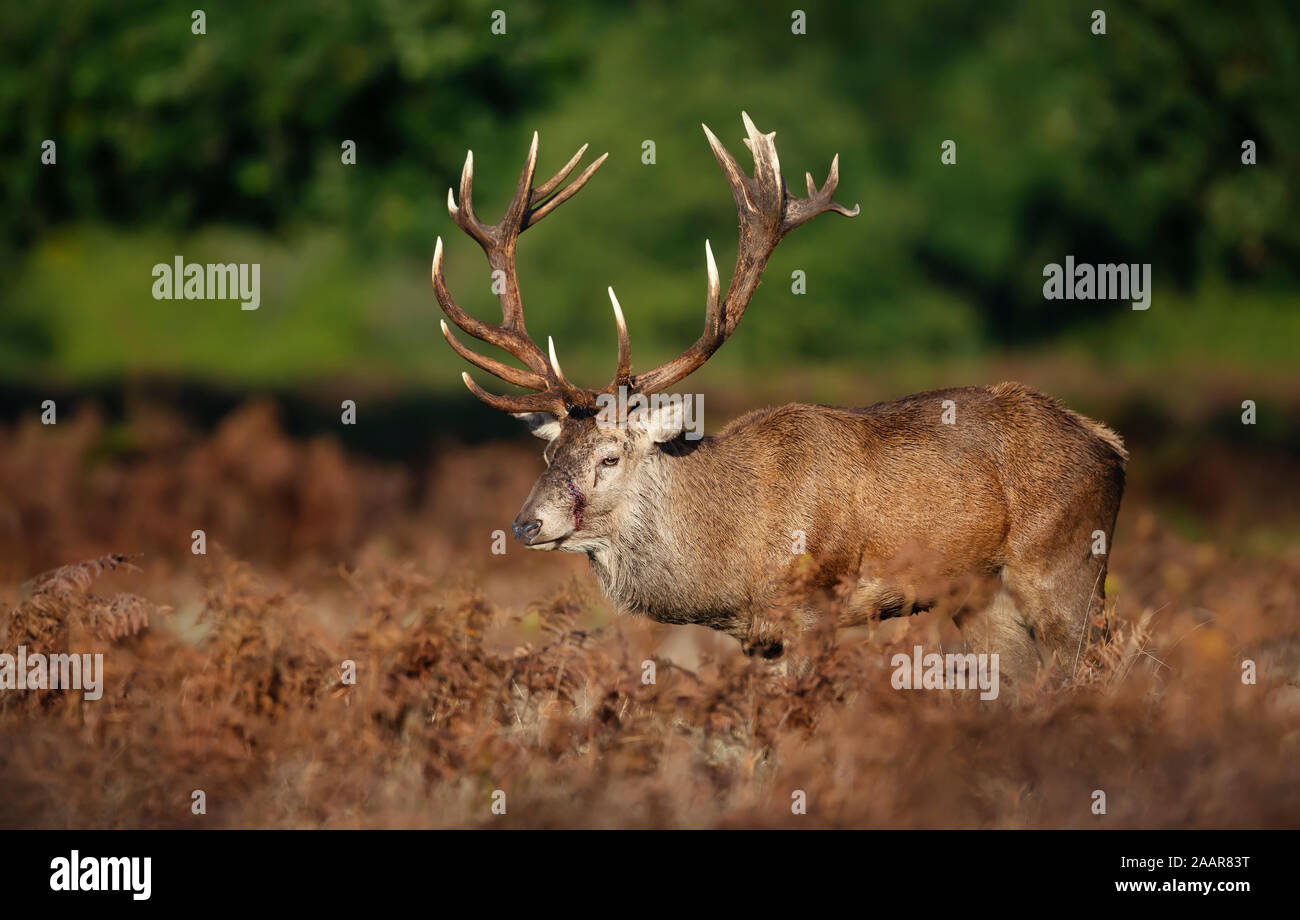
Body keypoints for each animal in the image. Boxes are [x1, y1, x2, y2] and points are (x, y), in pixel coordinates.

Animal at [431, 113, 1127, 681]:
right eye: (549, 456)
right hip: (980, 598)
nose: (526, 523)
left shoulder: (815, 606)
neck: (733, 566)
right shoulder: (762, 637)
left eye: (610, 456)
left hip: (1067, 566)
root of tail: (1112, 447)